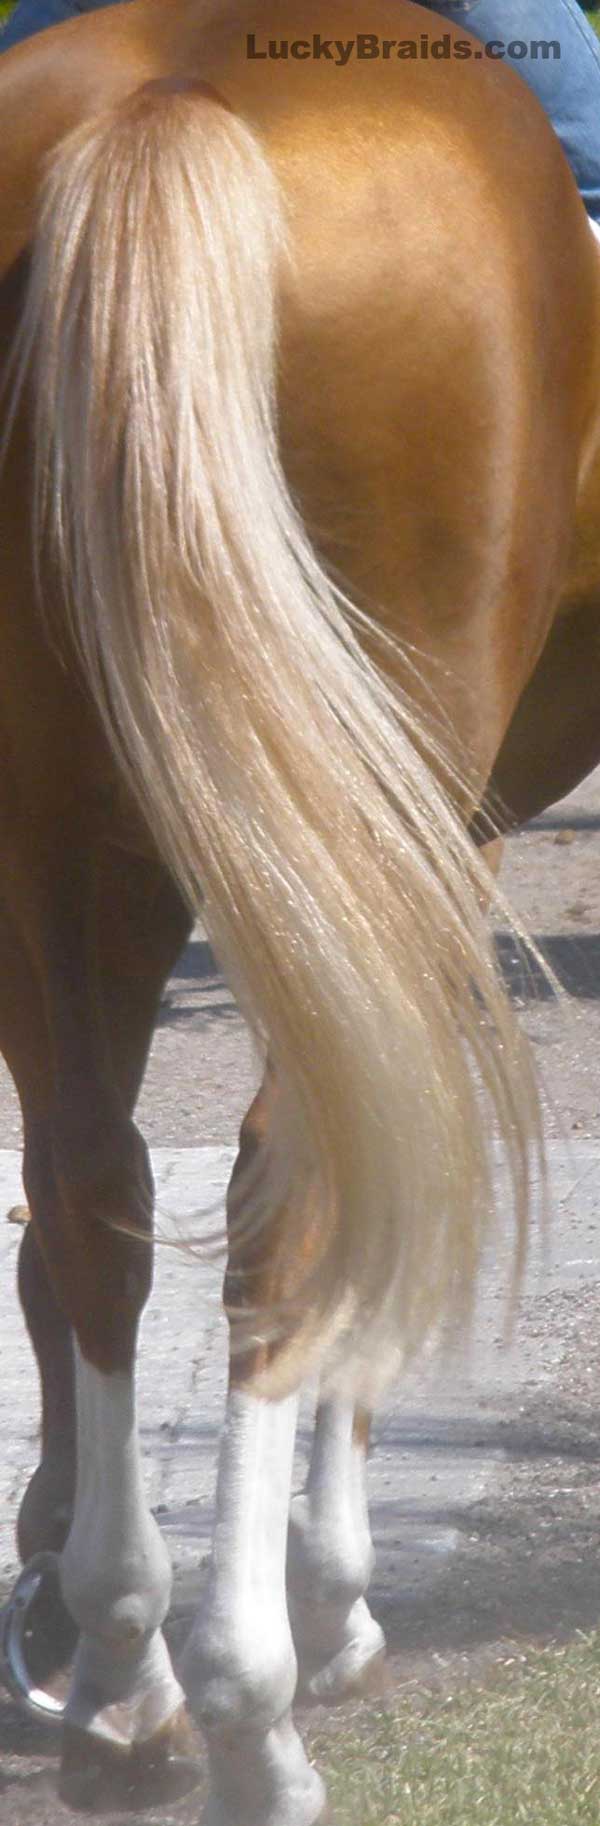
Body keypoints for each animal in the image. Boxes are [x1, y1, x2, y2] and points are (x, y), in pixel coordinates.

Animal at [1, 2, 600, 1821]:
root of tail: (174, 106)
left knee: (95, 1191)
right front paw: (330, 1600)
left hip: (56, 830)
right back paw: (248, 1693)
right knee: (290, 1183)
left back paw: (128, 1667)